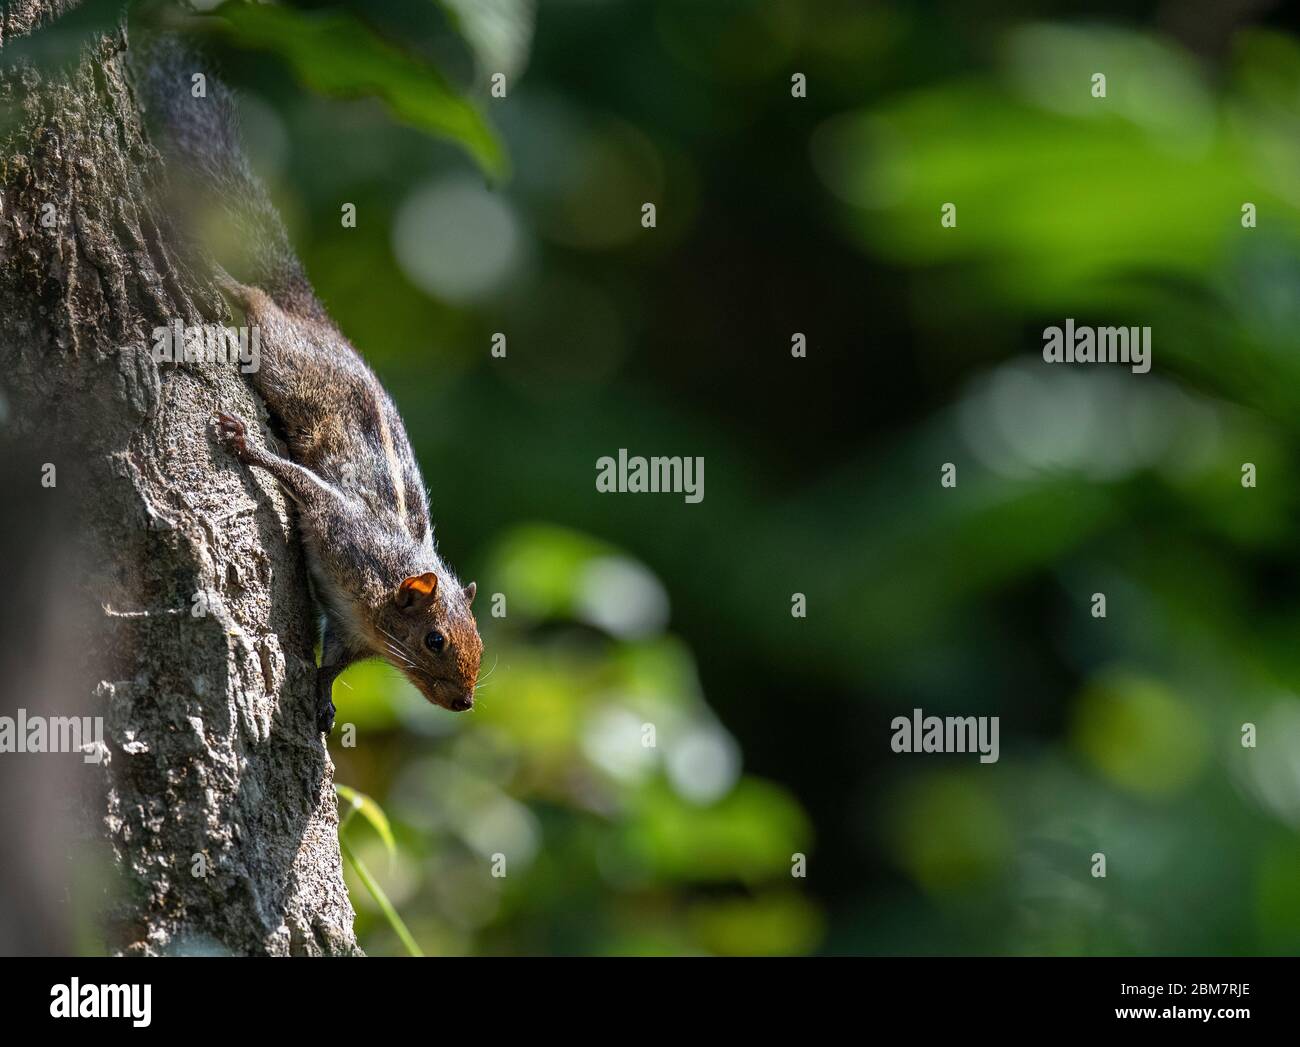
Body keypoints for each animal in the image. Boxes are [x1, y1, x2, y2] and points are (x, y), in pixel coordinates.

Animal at [135, 38, 482, 734]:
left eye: (479, 643)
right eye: (435, 640)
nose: (464, 702)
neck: (380, 593)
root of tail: (319, 321)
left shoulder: (350, 633)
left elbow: (331, 665)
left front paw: (321, 699)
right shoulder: (341, 528)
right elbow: (297, 481)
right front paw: (246, 447)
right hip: (282, 351)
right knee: (257, 302)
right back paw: (227, 283)